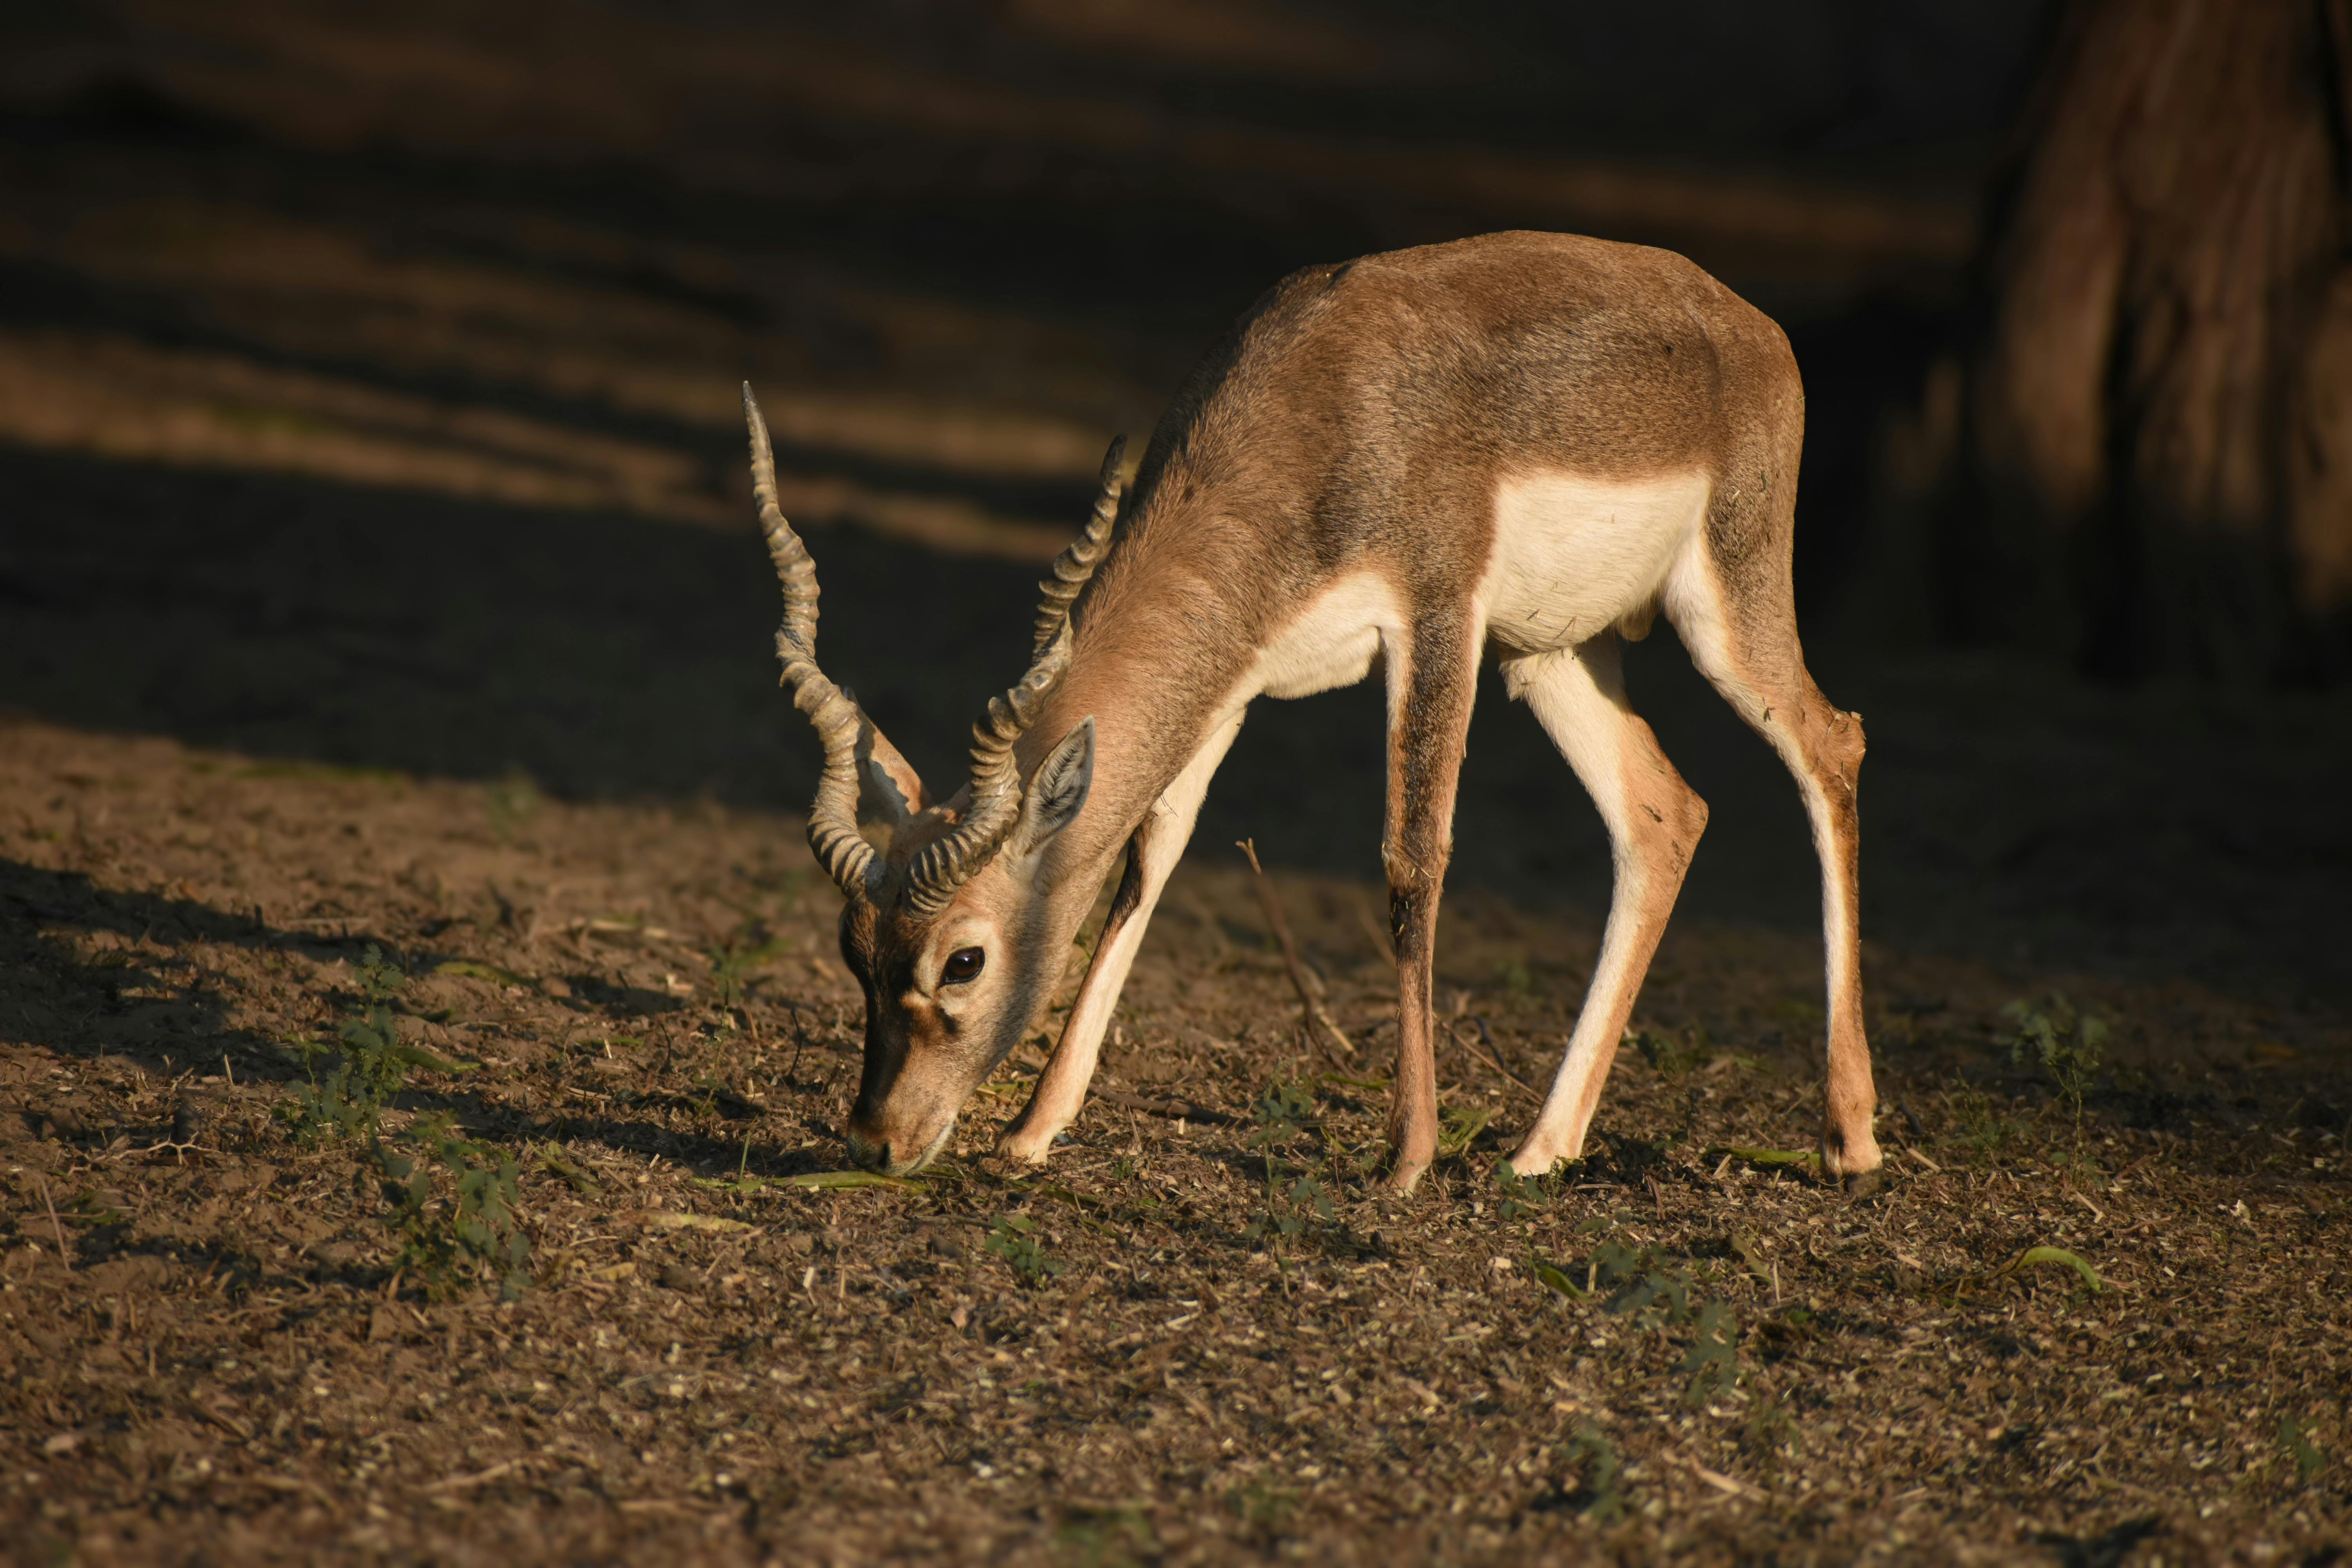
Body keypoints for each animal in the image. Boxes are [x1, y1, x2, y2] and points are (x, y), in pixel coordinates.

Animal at [749, 229, 1881, 1194]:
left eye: (964, 958)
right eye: (854, 947)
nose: (878, 1137)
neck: (1318, 410)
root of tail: (1750, 326)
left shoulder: (1437, 616)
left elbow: (1411, 860)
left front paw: (1408, 1155)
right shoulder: (1231, 675)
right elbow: (1149, 857)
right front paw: (1032, 1131)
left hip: (1722, 604)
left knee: (1833, 743)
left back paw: (1849, 1138)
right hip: (1553, 651)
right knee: (1664, 812)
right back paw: (1541, 1150)